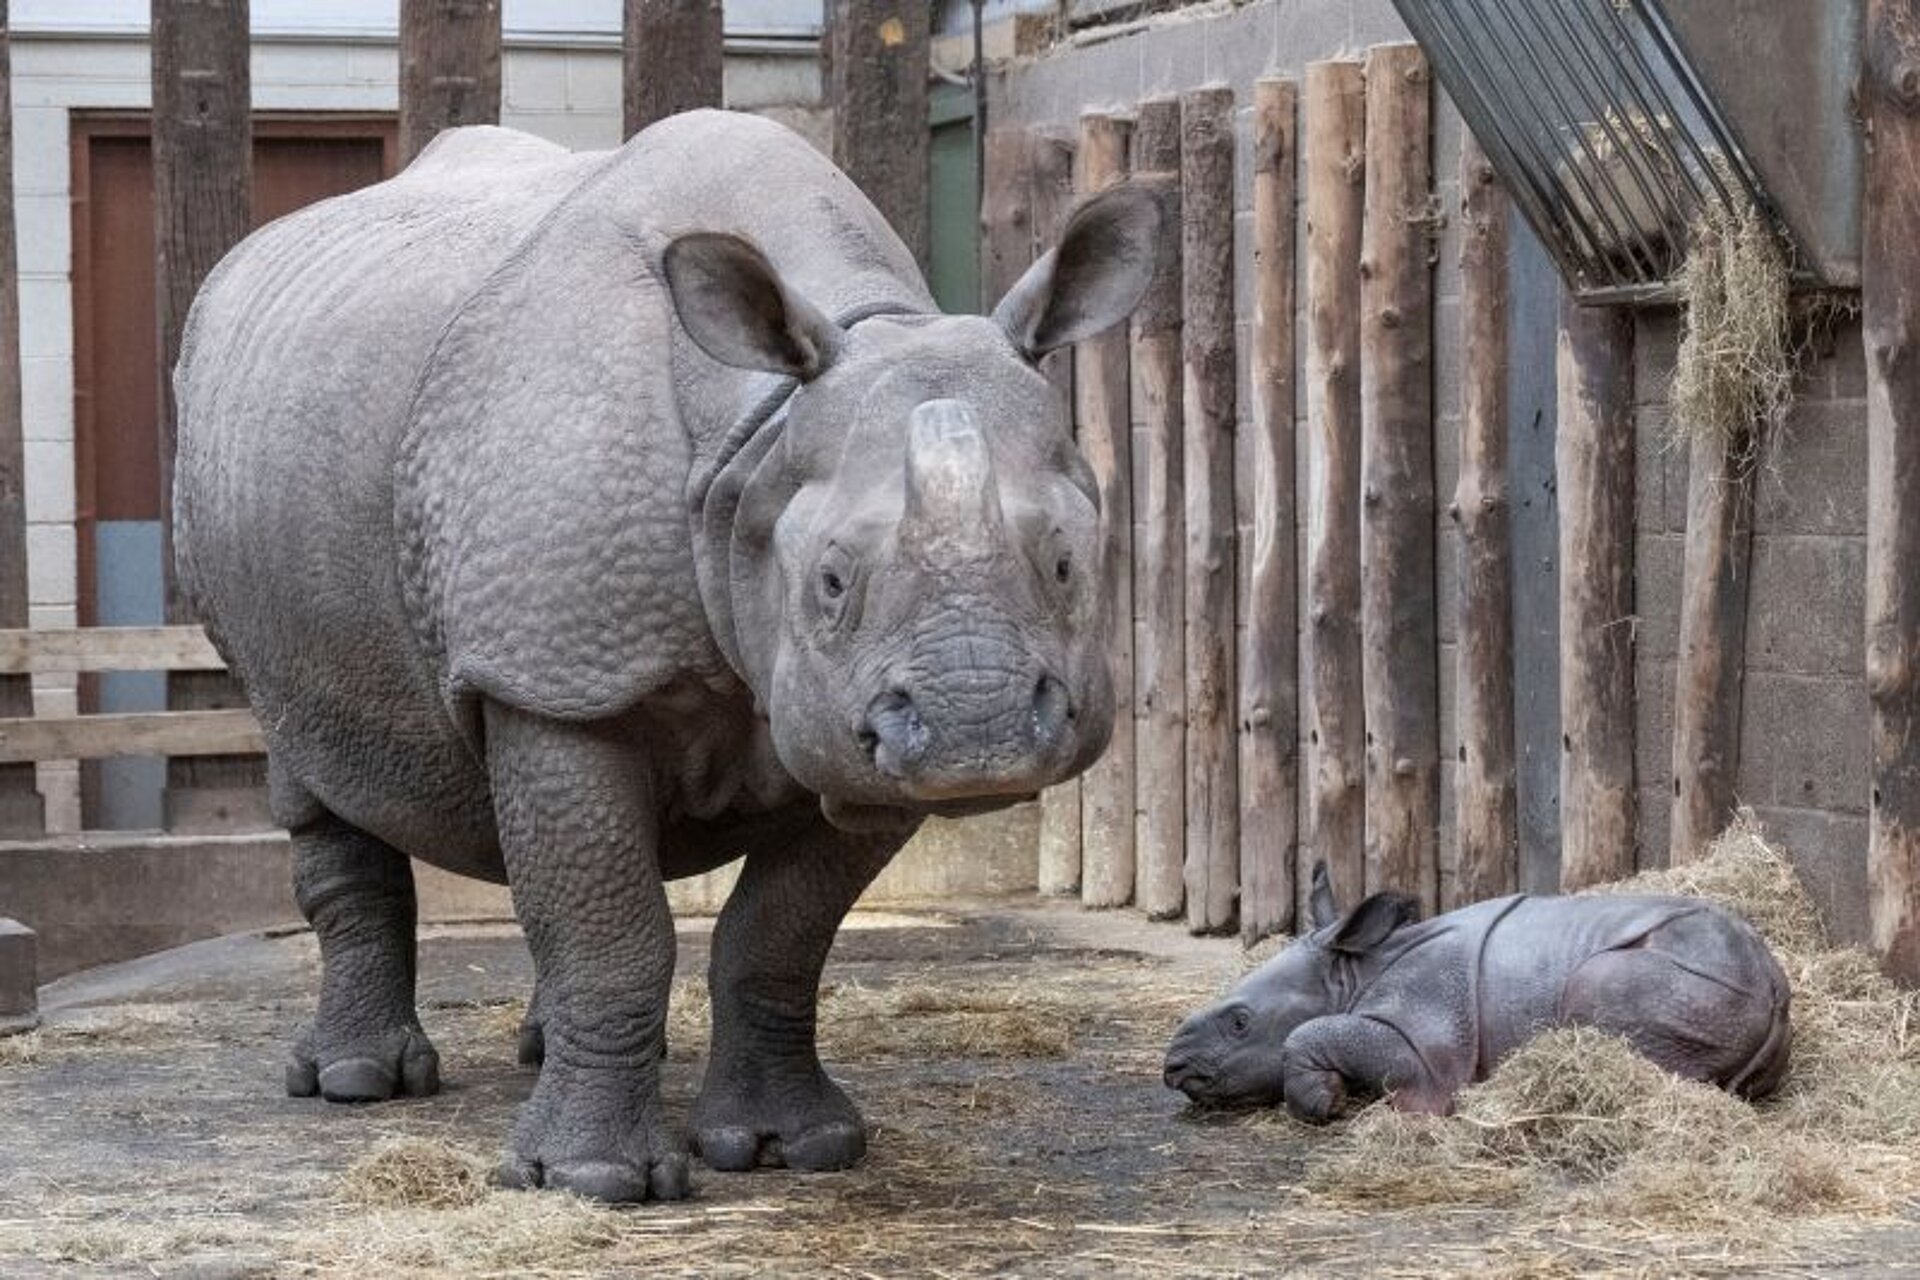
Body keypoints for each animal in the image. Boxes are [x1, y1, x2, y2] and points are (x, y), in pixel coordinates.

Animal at [173, 112, 1159, 1203]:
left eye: (1066, 561)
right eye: (831, 579)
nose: (975, 734)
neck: (754, 443)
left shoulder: (839, 722)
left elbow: (774, 933)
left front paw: (789, 1147)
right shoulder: (555, 674)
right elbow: (616, 930)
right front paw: (588, 1179)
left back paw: (544, 1049)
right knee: (308, 759)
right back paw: (357, 1083)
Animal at [1163, 864, 1792, 1120]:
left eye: (1239, 1022)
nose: (1173, 1066)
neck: (1354, 972)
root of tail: (1775, 984)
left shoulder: (1425, 1037)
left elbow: (1311, 1034)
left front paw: (1323, 1104)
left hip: (1691, 979)